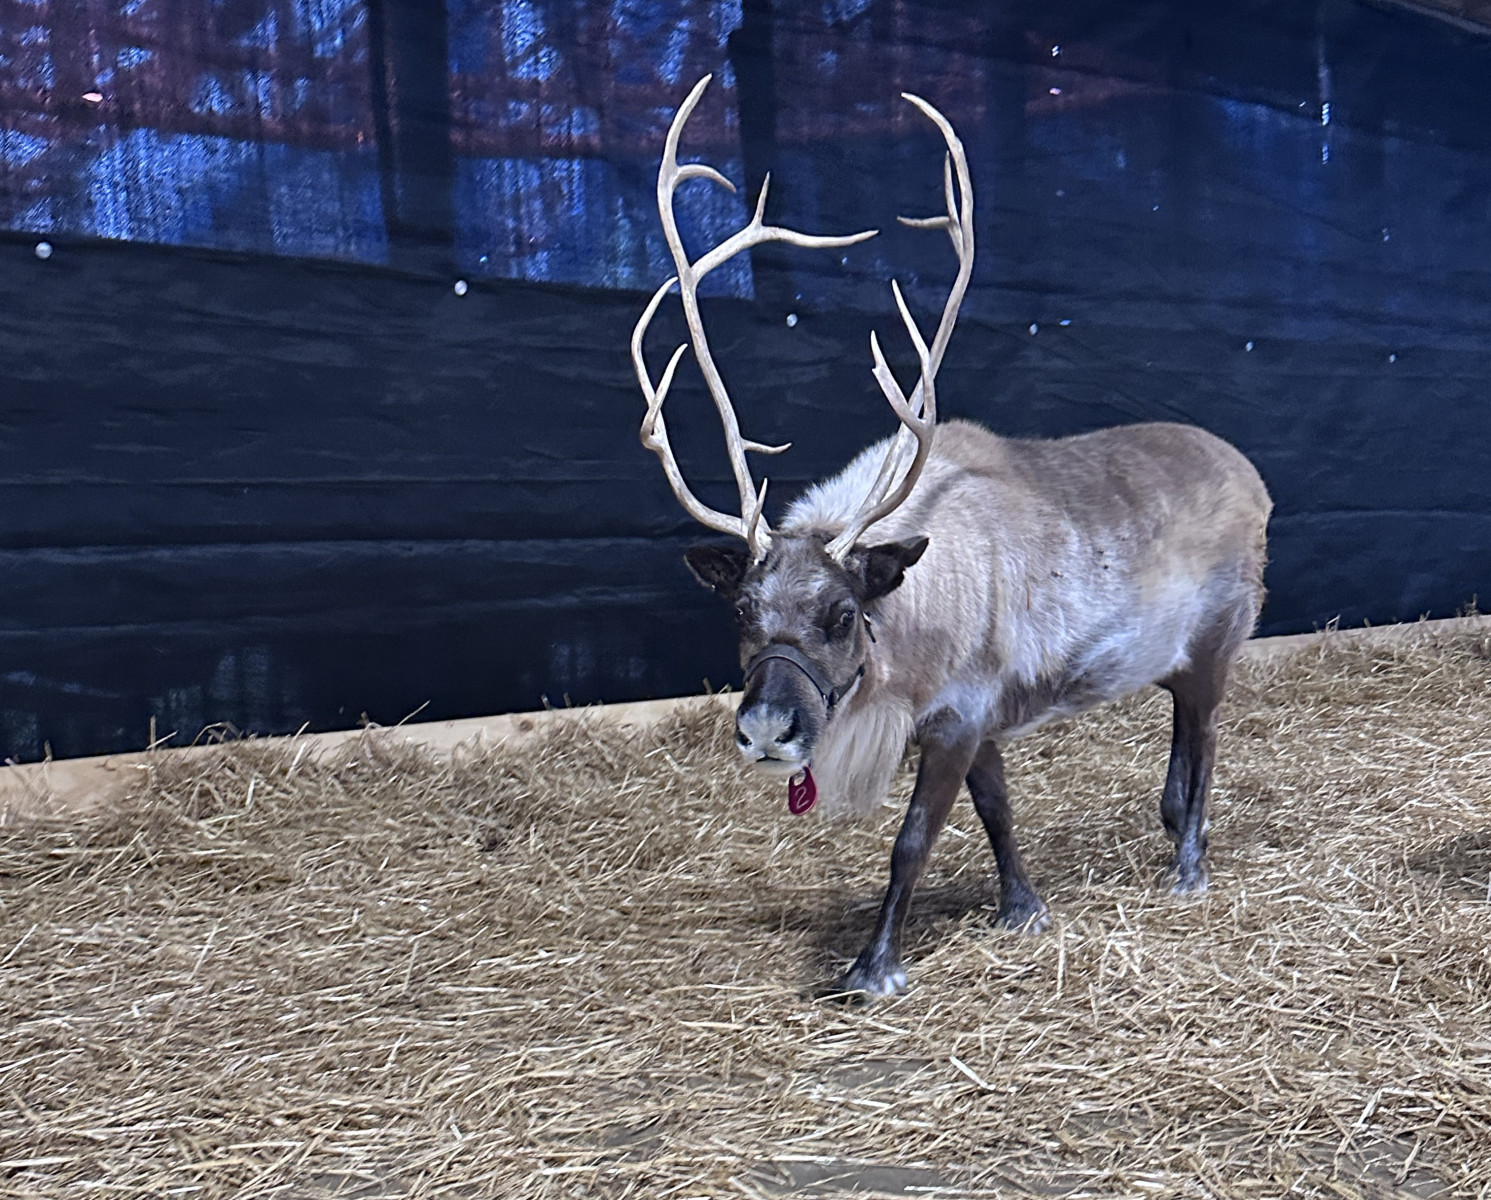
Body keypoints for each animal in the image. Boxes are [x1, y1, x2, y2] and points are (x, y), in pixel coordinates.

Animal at [631, 76, 1272, 999]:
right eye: (742, 610)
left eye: (841, 614)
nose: (765, 730)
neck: (904, 633)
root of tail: (1251, 474)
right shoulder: (977, 721)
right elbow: (997, 811)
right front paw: (1022, 907)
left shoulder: (958, 717)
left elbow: (911, 843)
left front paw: (873, 966)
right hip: (1171, 658)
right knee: (1184, 735)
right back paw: (1177, 824)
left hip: (1221, 639)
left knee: (1210, 735)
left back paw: (1188, 864)